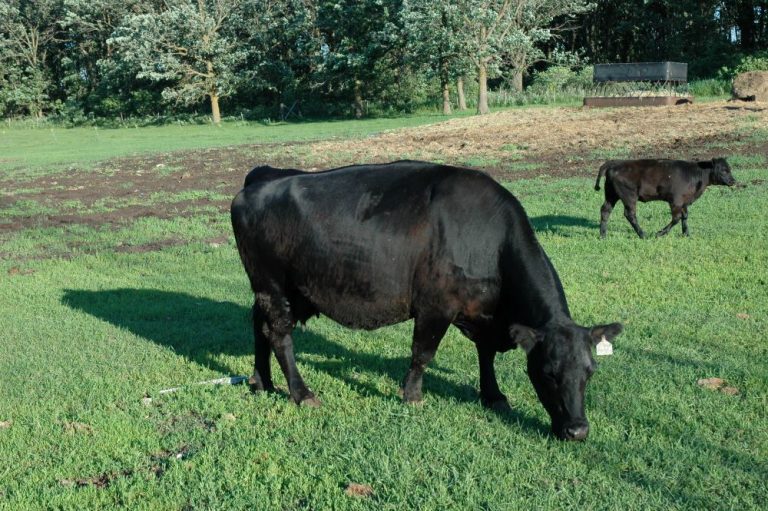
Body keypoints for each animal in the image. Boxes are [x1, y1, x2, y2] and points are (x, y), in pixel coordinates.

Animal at [231, 160, 623, 441]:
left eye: (591, 371)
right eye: (548, 372)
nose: (578, 430)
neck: (490, 241)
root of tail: (262, 178)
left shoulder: (483, 314)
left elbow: (485, 354)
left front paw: (493, 396)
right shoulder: (436, 306)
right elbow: (423, 353)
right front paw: (412, 396)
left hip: (286, 291)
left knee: (259, 326)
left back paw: (261, 381)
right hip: (272, 284)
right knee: (280, 336)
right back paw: (301, 393)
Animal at [594, 158, 736, 238]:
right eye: (724, 170)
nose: (733, 181)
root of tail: (615, 163)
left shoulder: (684, 201)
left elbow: (685, 216)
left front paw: (686, 234)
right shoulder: (676, 201)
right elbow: (676, 218)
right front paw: (660, 233)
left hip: (611, 195)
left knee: (605, 210)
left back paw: (603, 235)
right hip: (629, 196)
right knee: (630, 214)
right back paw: (643, 234)